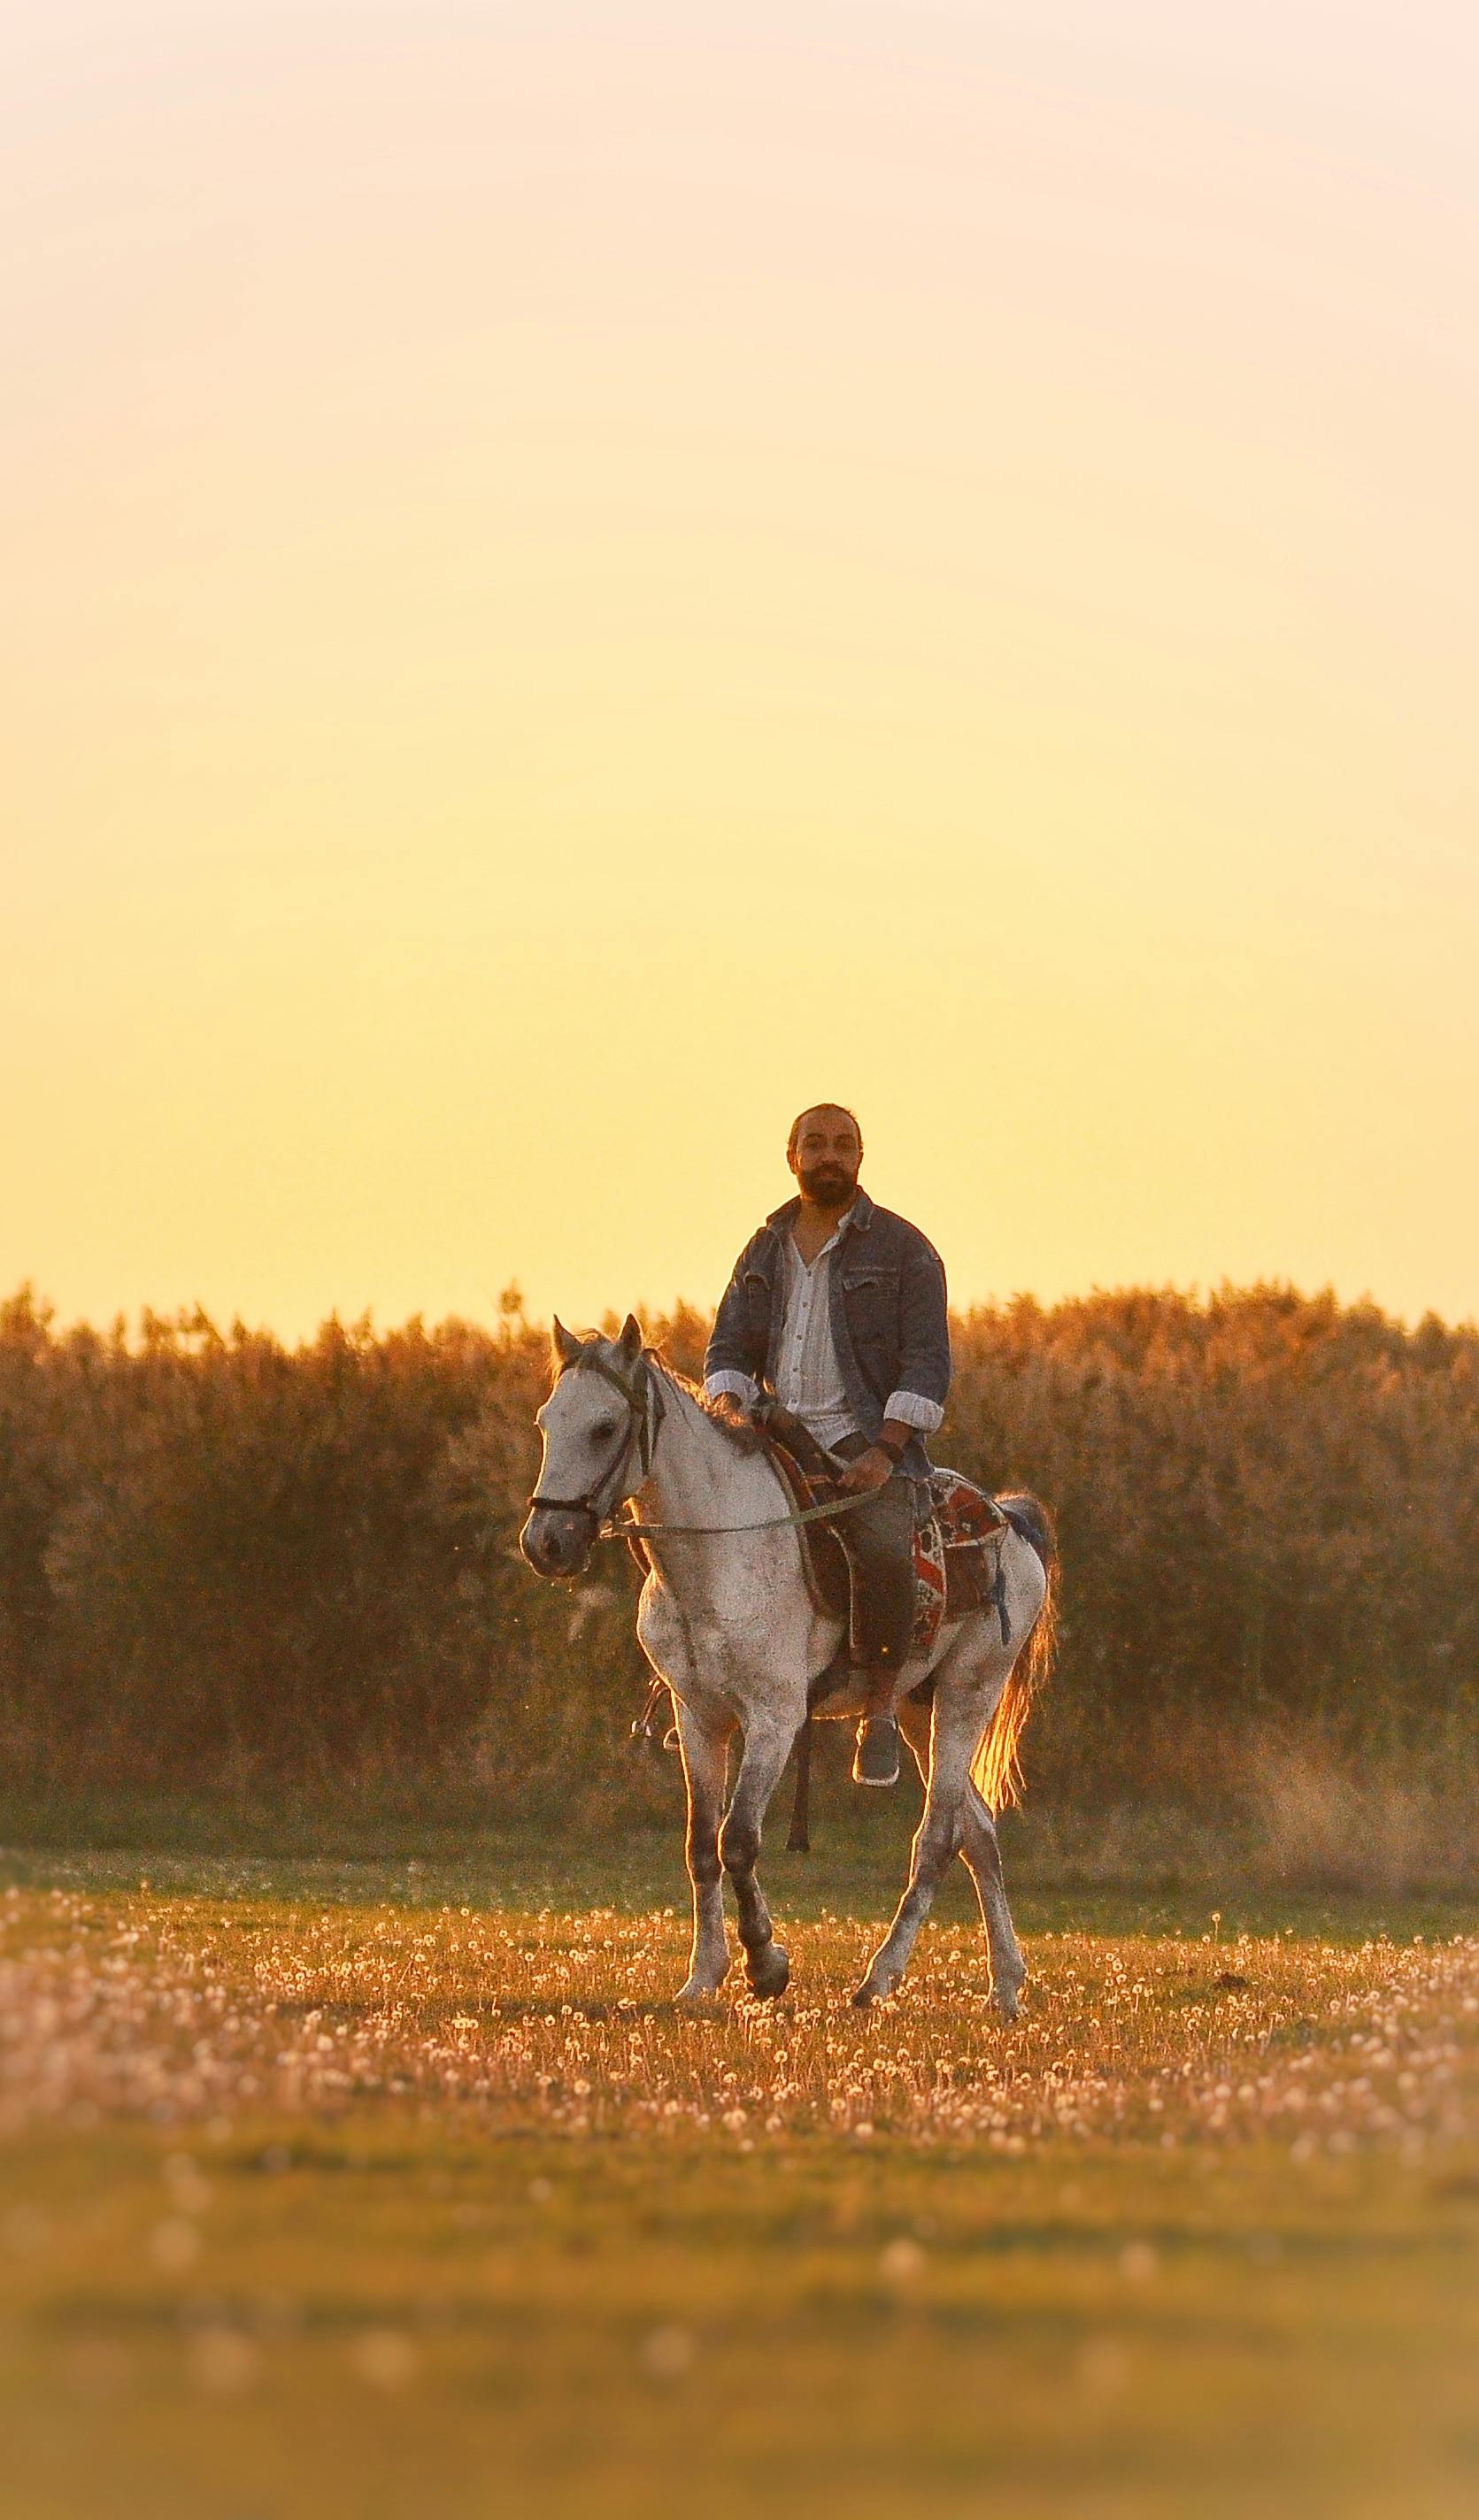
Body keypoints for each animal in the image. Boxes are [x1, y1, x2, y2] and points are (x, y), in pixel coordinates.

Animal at [519, 1314, 1057, 2014]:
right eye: (546, 1421)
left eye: (605, 1427)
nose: (546, 1544)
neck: (722, 1554)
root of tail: (1011, 1524)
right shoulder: (698, 1716)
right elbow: (701, 1844)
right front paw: (703, 1976)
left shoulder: (774, 1719)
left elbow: (739, 1839)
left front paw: (765, 1964)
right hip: (918, 1707)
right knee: (980, 1835)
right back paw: (1005, 1986)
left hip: (969, 1694)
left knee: (938, 1838)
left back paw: (880, 1977)